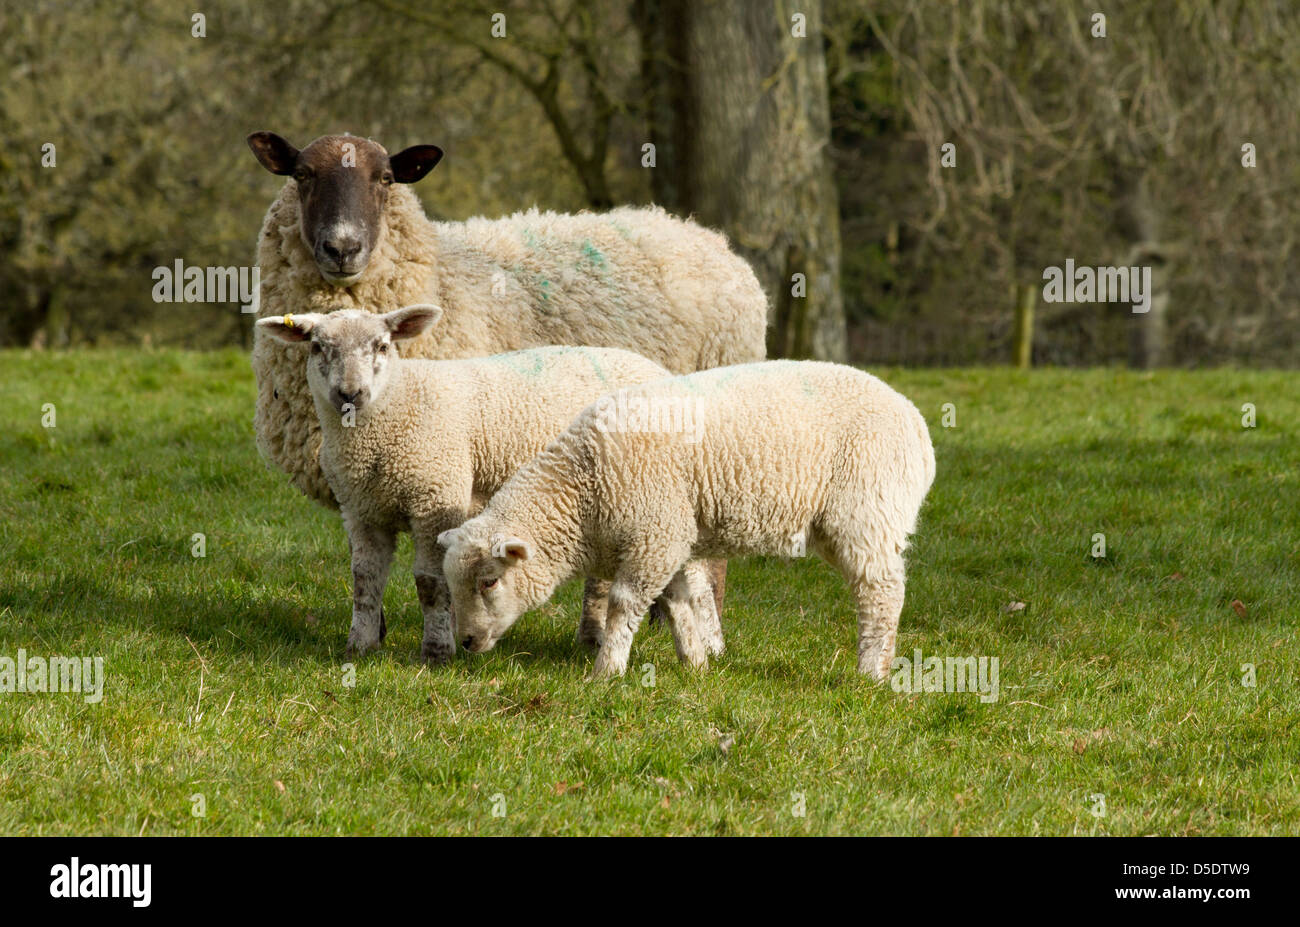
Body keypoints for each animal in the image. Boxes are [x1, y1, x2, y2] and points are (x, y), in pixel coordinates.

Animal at [256, 304, 724, 665]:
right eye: (318, 346)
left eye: (382, 346)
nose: (350, 393)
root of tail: (657, 368)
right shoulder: (361, 510)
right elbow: (364, 579)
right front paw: (361, 646)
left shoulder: (436, 496)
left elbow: (430, 582)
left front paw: (437, 651)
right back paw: (593, 637)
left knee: (697, 576)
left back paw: (712, 645)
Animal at [437, 361, 936, 681]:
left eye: (489, 581)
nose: (466, 642)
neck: (581, 488)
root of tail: (916, 423)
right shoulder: (670, 540)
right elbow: (677, 603)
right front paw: (695, 664)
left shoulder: (653, 534)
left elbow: (623, 604)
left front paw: (606, 672)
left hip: (867, 512)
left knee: (881, 593)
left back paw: (871, 672)